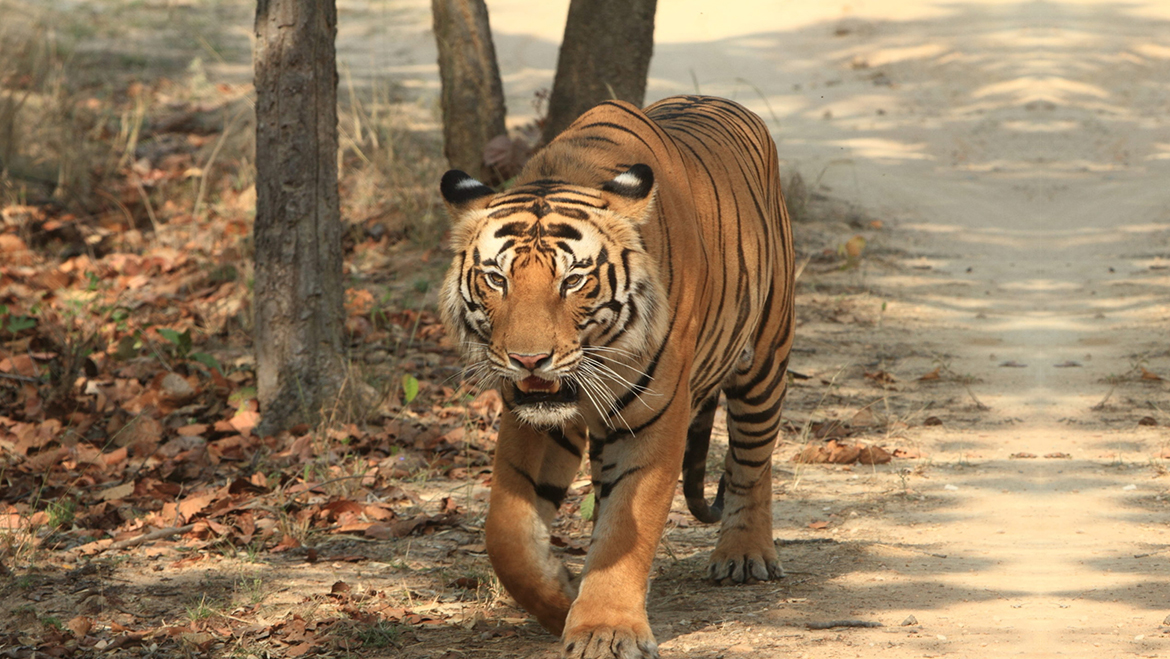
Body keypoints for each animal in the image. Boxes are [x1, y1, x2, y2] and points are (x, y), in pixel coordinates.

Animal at [438, 95, 794, 659]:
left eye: (573, 280)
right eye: (496, 279)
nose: (528, 360)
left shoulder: (655, 417)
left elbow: (628, 527)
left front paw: (604, 629)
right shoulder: (531, 418)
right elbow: (507, 531)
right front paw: (561, 600)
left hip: (765, 358)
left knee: (751, 460)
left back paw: (745, 553)